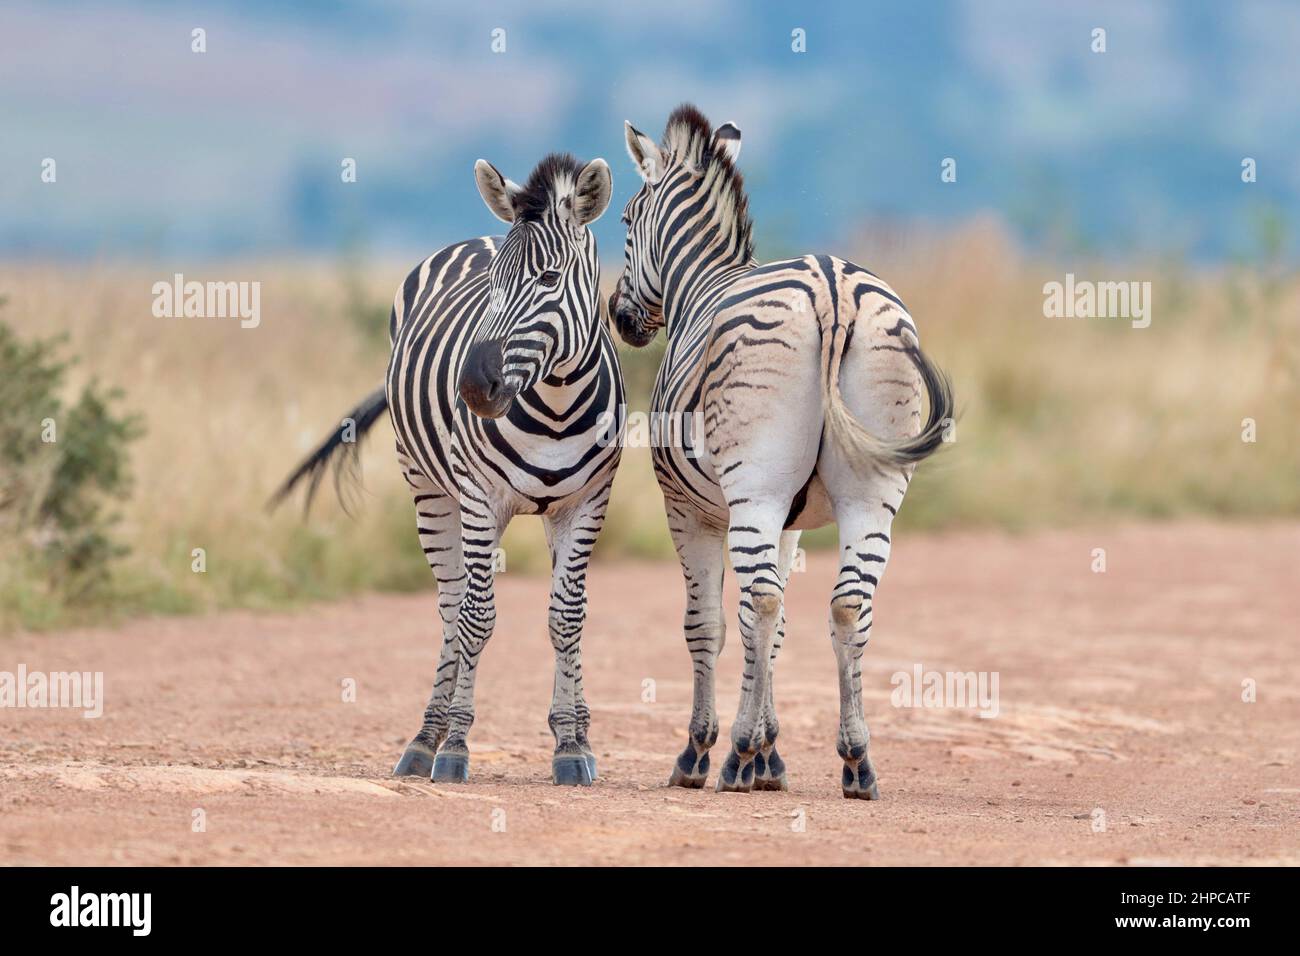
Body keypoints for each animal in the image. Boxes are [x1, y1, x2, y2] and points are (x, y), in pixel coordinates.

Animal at [272, 153, 622, 787]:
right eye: (493, 282)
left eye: (549, 280)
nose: (473, 387)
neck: (556, 404)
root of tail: (474, 235)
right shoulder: (481, 498)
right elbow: (476, 618)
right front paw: (455, 747)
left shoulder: (588, 503)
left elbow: (567, 617)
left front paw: (572, 744)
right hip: (428, 487)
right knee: (453, 604)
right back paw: (424, 741)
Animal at [609, 105, 954, 799]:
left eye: (627, 222)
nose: (619, 317)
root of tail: (831, 287)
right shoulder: (790, 521)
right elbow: (774, 627)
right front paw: (771, 758)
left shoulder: (690, 510)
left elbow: (712, 625)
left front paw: (709, 753)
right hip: (871, 495)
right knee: (848, 606)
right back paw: (856, 761)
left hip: (756, 487)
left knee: (761, 603)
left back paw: (733, 755)